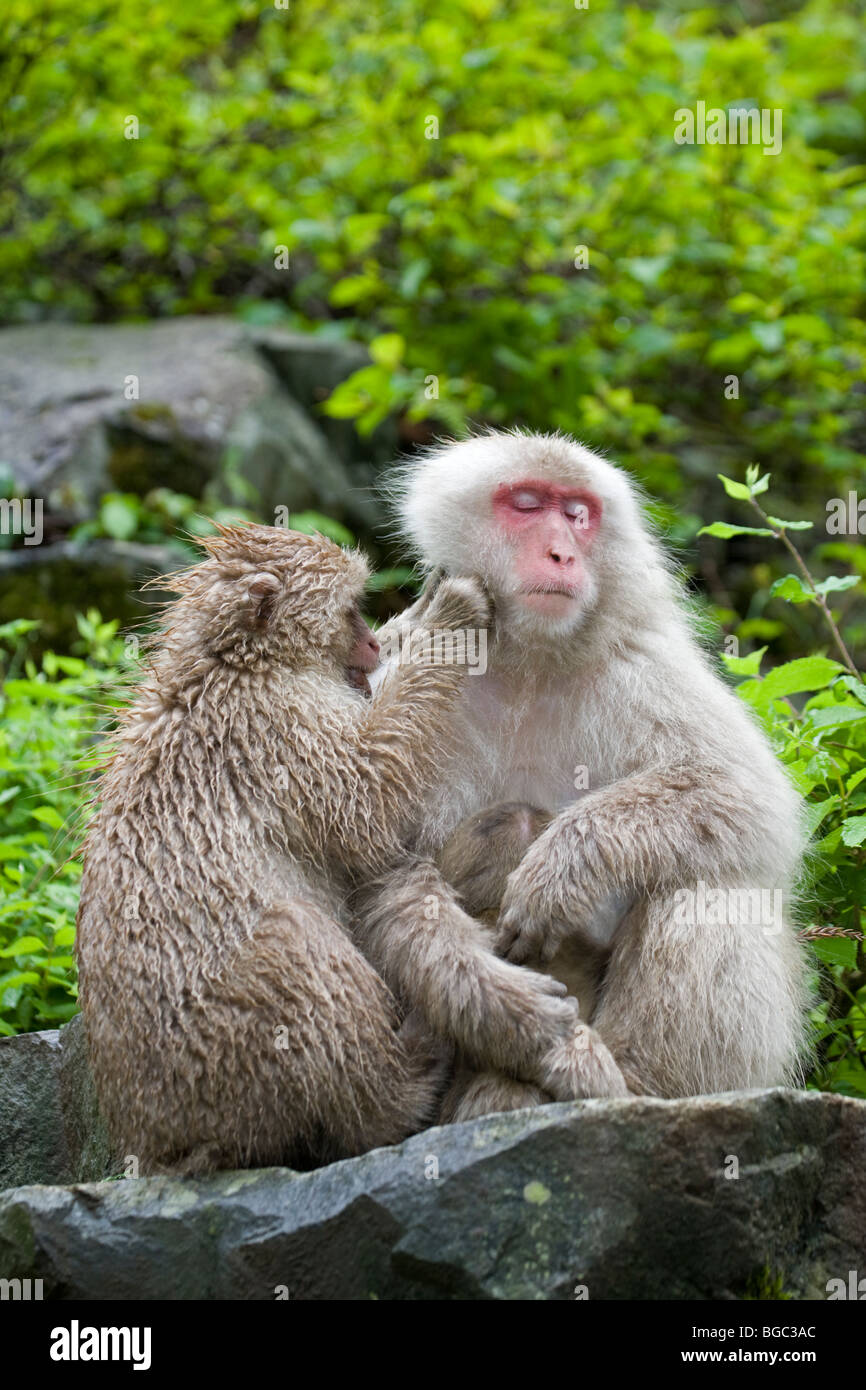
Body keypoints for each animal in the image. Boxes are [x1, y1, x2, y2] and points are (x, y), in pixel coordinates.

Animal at [76, 521, 581, 1175]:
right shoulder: (279, 725)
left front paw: (421, 614)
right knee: (294, 945)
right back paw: (399, 1090)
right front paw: (452, 614)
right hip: (226, 1058)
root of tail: (165, 1146)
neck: (237, 663)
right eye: (347, 612)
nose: (369, 644)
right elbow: (370, 795)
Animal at [363, 429, 811, 1121]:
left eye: (578, 514)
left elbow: (745, 794)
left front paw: (563, 867)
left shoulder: (640, 663)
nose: (562, 553)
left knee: (709, 885)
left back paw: (637, 1086)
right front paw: (506, 1008)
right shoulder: (400, 679)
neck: (530, 660)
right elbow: (383, 870)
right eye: (526, 504)